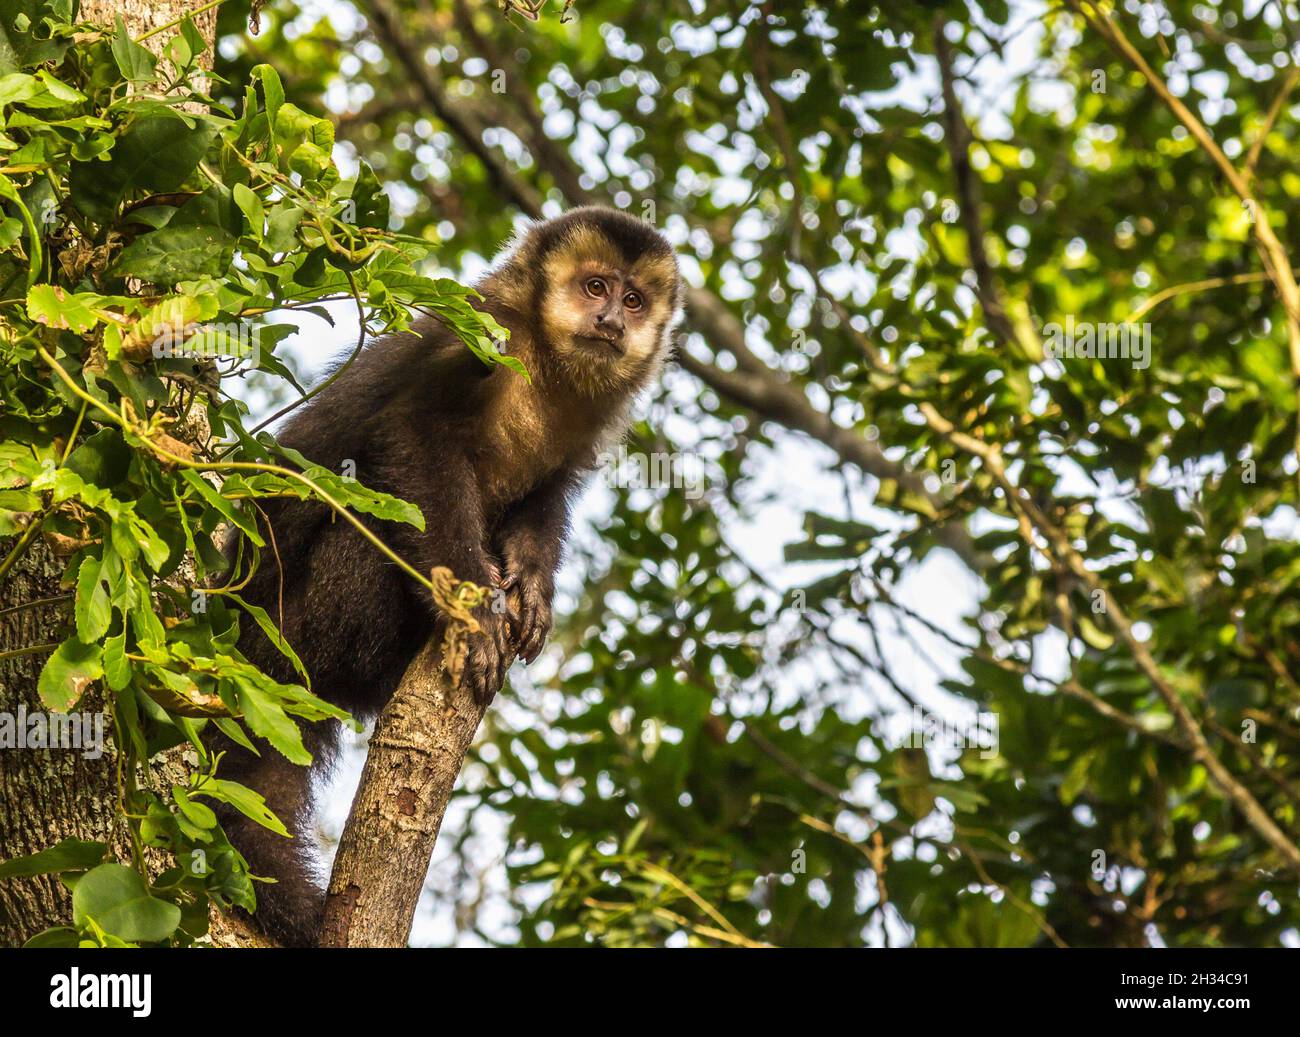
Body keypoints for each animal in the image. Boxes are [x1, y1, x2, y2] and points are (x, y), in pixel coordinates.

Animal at [205, 207, 683, 946]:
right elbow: (411, 435)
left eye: (635, 300)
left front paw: (531, 587)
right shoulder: (482, 329)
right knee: (365, 536)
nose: (612, 321)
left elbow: (547, 495)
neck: (546, 362)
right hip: (292, 629)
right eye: (595, 286)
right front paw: (473, 608)